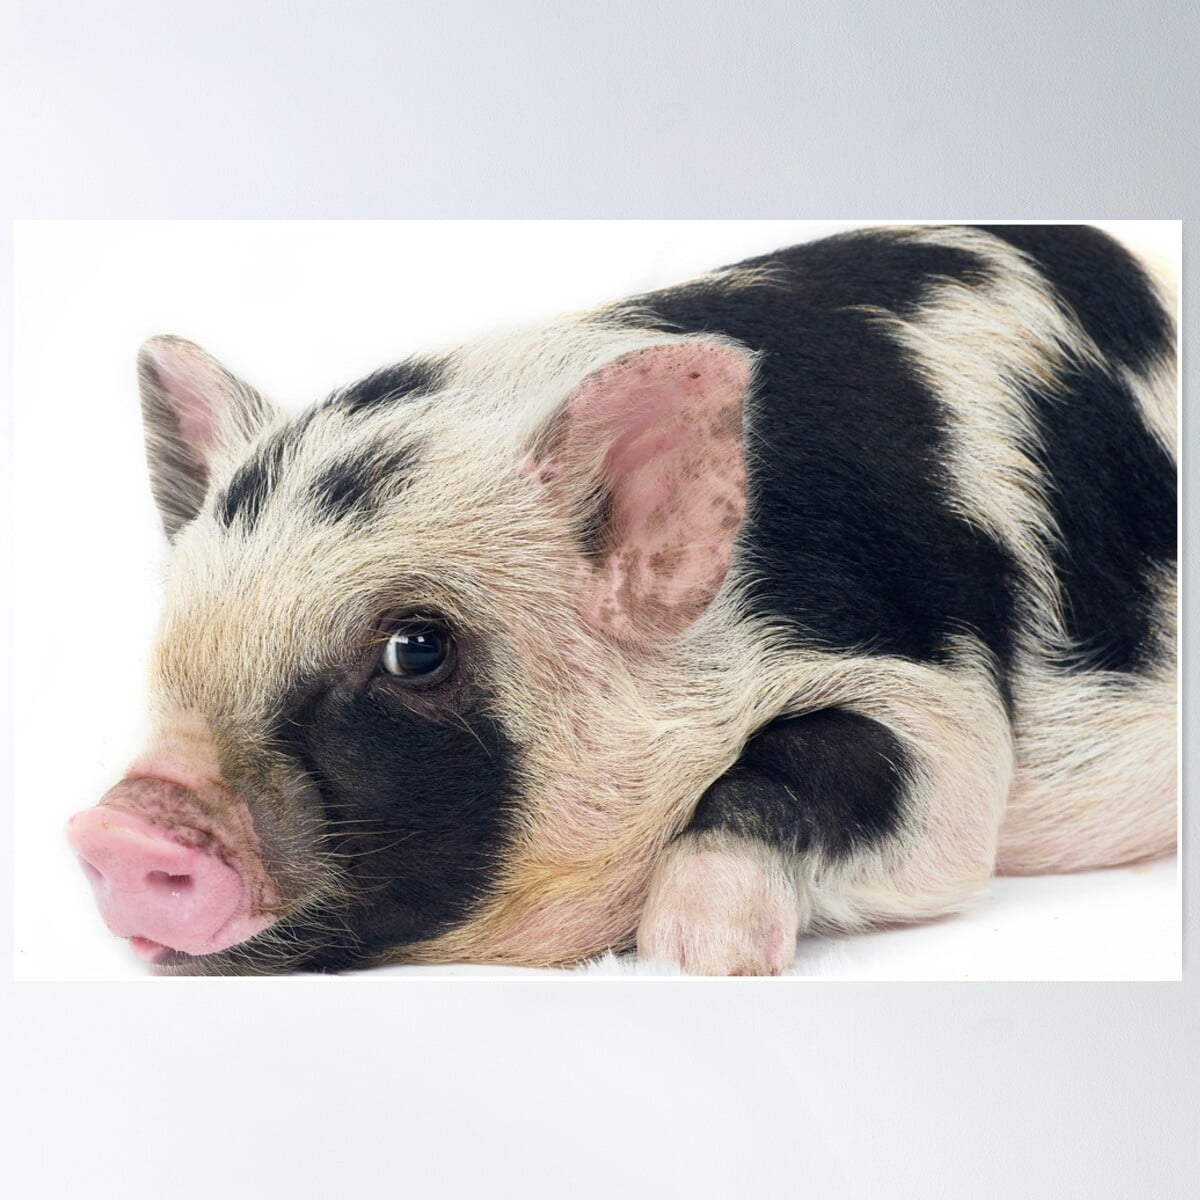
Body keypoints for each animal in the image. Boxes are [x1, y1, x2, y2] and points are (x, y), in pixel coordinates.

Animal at [65, 224, 1178, 975]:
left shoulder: (938, 696)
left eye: (416, 647)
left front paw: (700, 954)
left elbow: (826, 771)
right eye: (179, 623)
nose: (124, 825)